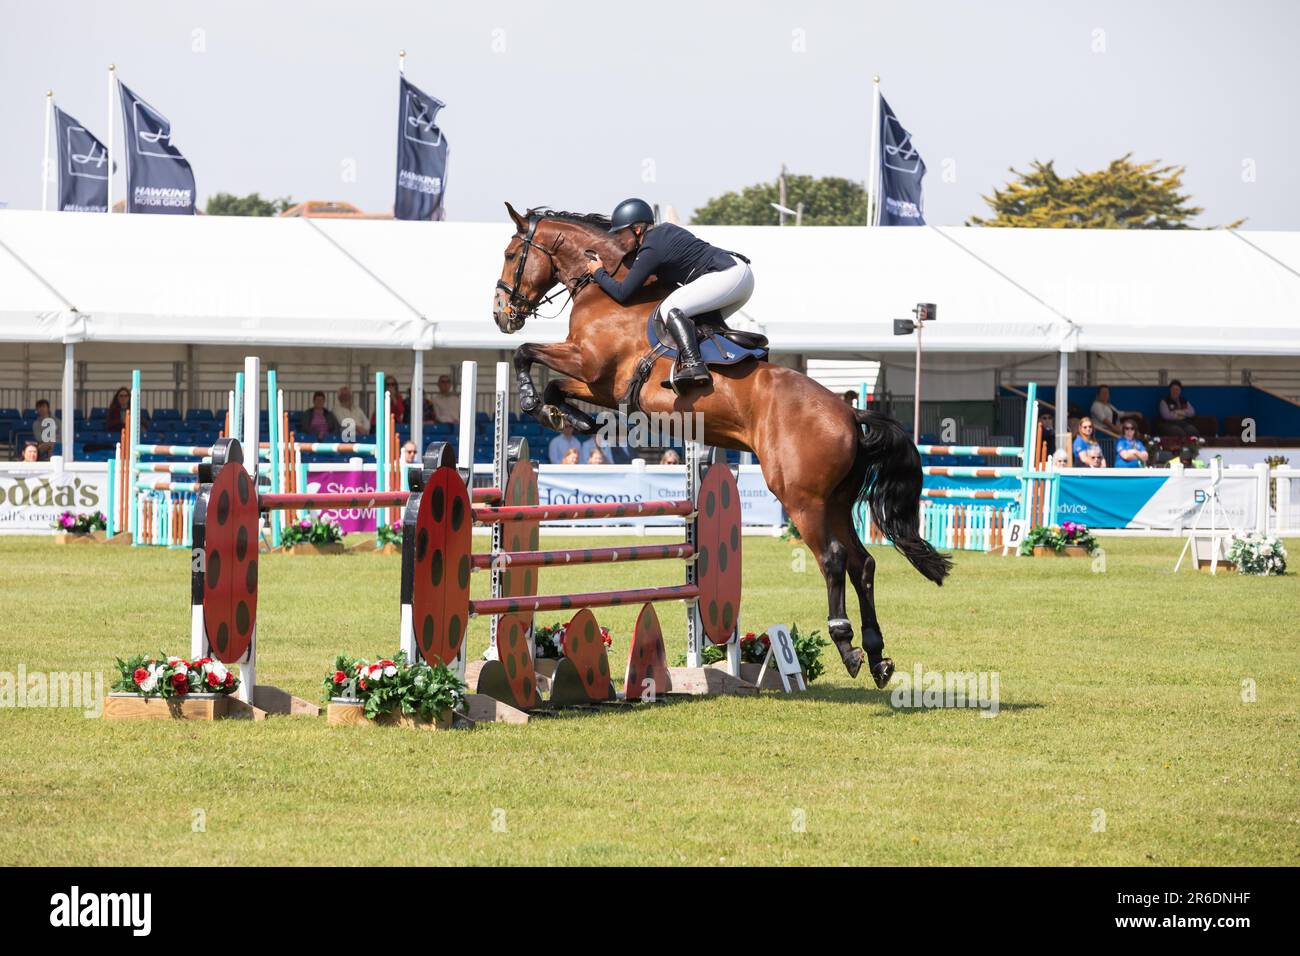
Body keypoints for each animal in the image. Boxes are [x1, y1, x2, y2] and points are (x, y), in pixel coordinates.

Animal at [491, 204, 950, 688]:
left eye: (510, 254)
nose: (502, 314)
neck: (609, 292)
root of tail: (849, 415)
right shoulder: (599, 383)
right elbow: (556, 385)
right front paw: (568, 416)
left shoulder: (591, 363)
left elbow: (527, 352)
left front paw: (531, 401)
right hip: (837, 500)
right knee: (863, 563)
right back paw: (878, 656)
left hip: (803, 499)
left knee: (833, 559)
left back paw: (846, 645)